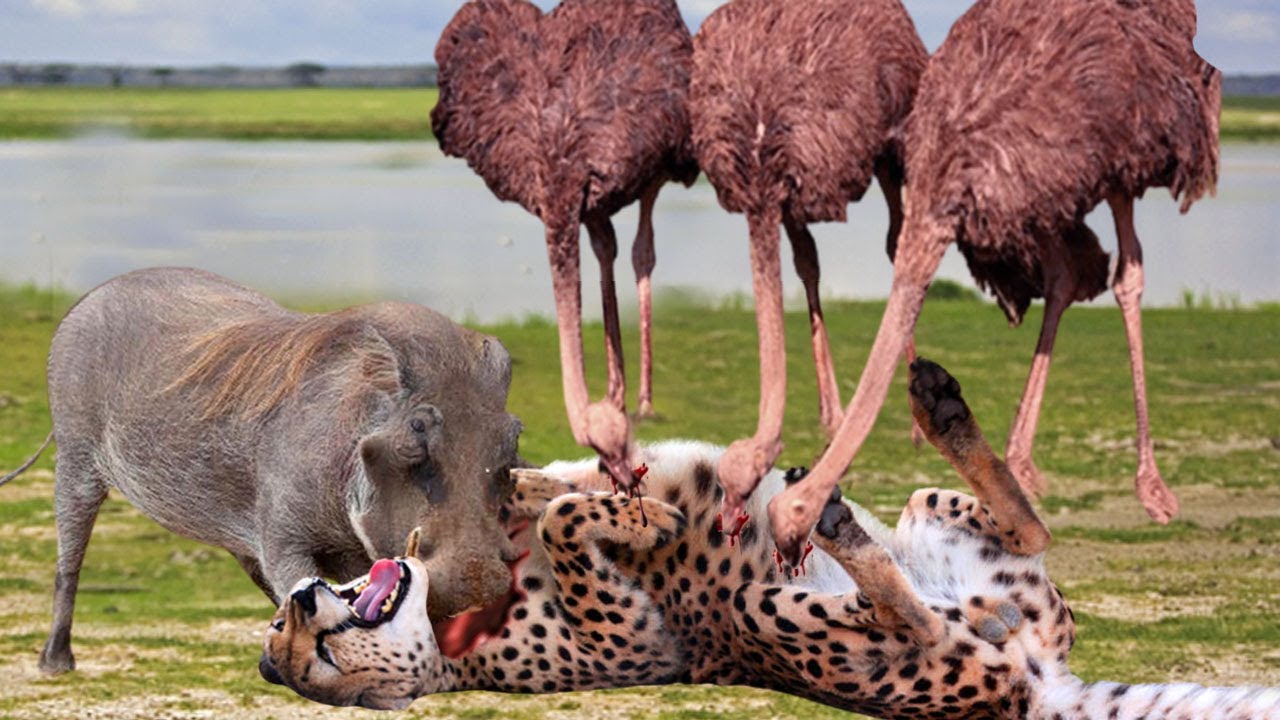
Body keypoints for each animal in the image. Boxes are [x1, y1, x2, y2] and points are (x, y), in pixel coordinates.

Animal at [260, 360, 1280, 719]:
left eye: (284, 634)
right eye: (304, 659)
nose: (300, 600)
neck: (443, 629)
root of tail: (1035, 684)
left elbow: (549, 490)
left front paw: (561, 485)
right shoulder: (638, 636)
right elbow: (570, 519)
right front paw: (646, 517)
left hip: (934, 513)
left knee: (1027, 523)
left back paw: (936, 407)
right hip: (775, 616)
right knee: (915, 618)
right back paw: (834, 522)